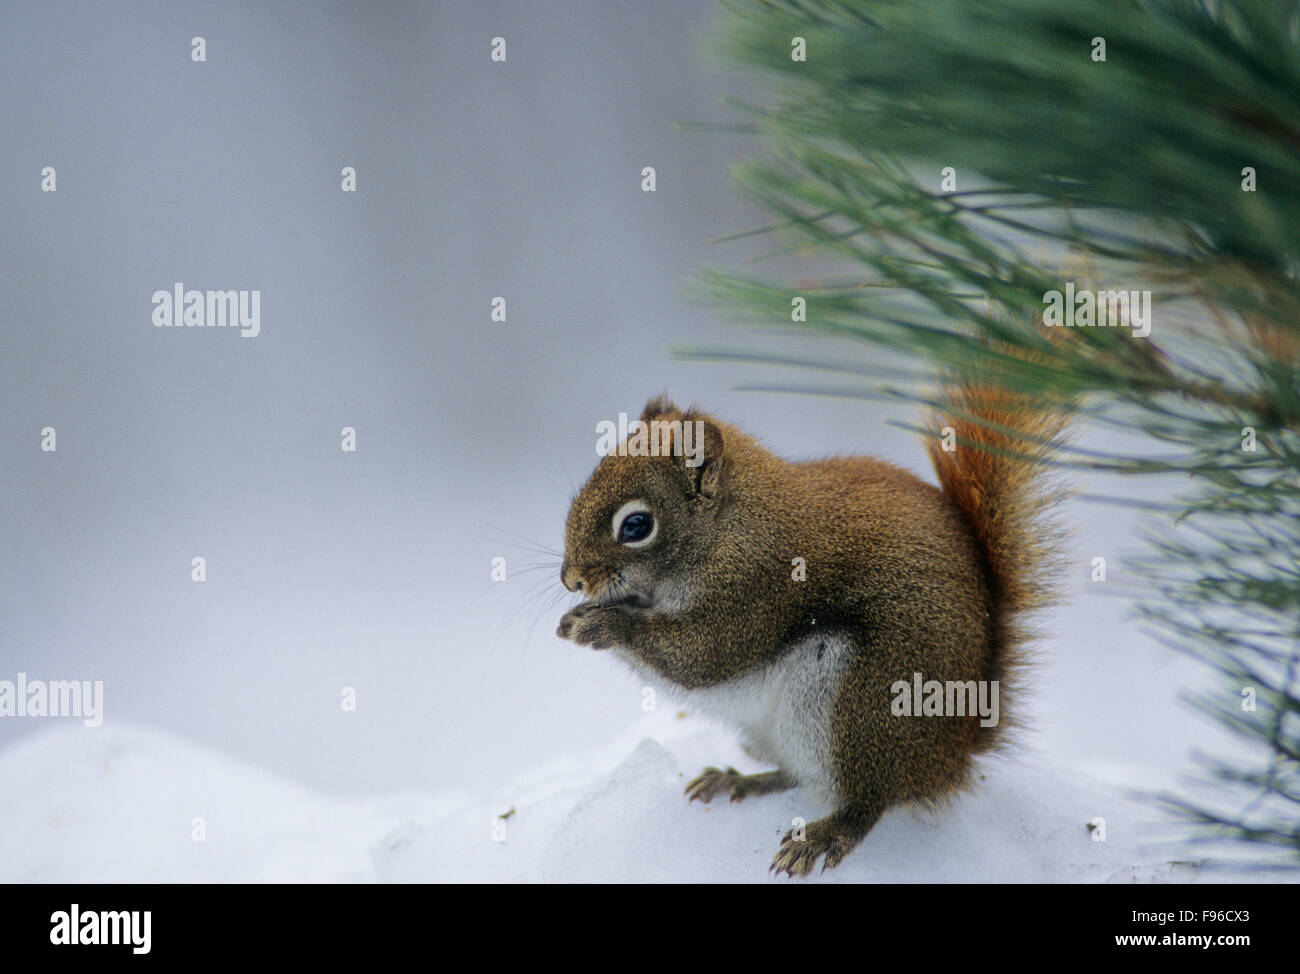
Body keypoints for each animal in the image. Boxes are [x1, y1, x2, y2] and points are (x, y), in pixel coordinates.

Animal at [556, 376, 1065, 877]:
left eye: (636, 525)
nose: (571, 579)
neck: (728, 527)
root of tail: (951, 757)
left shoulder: (755, 589)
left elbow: (701, 657)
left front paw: (600, 626)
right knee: (798, 773)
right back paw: (740, 781)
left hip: (862, 703)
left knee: (868, 799)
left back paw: (827, 833)